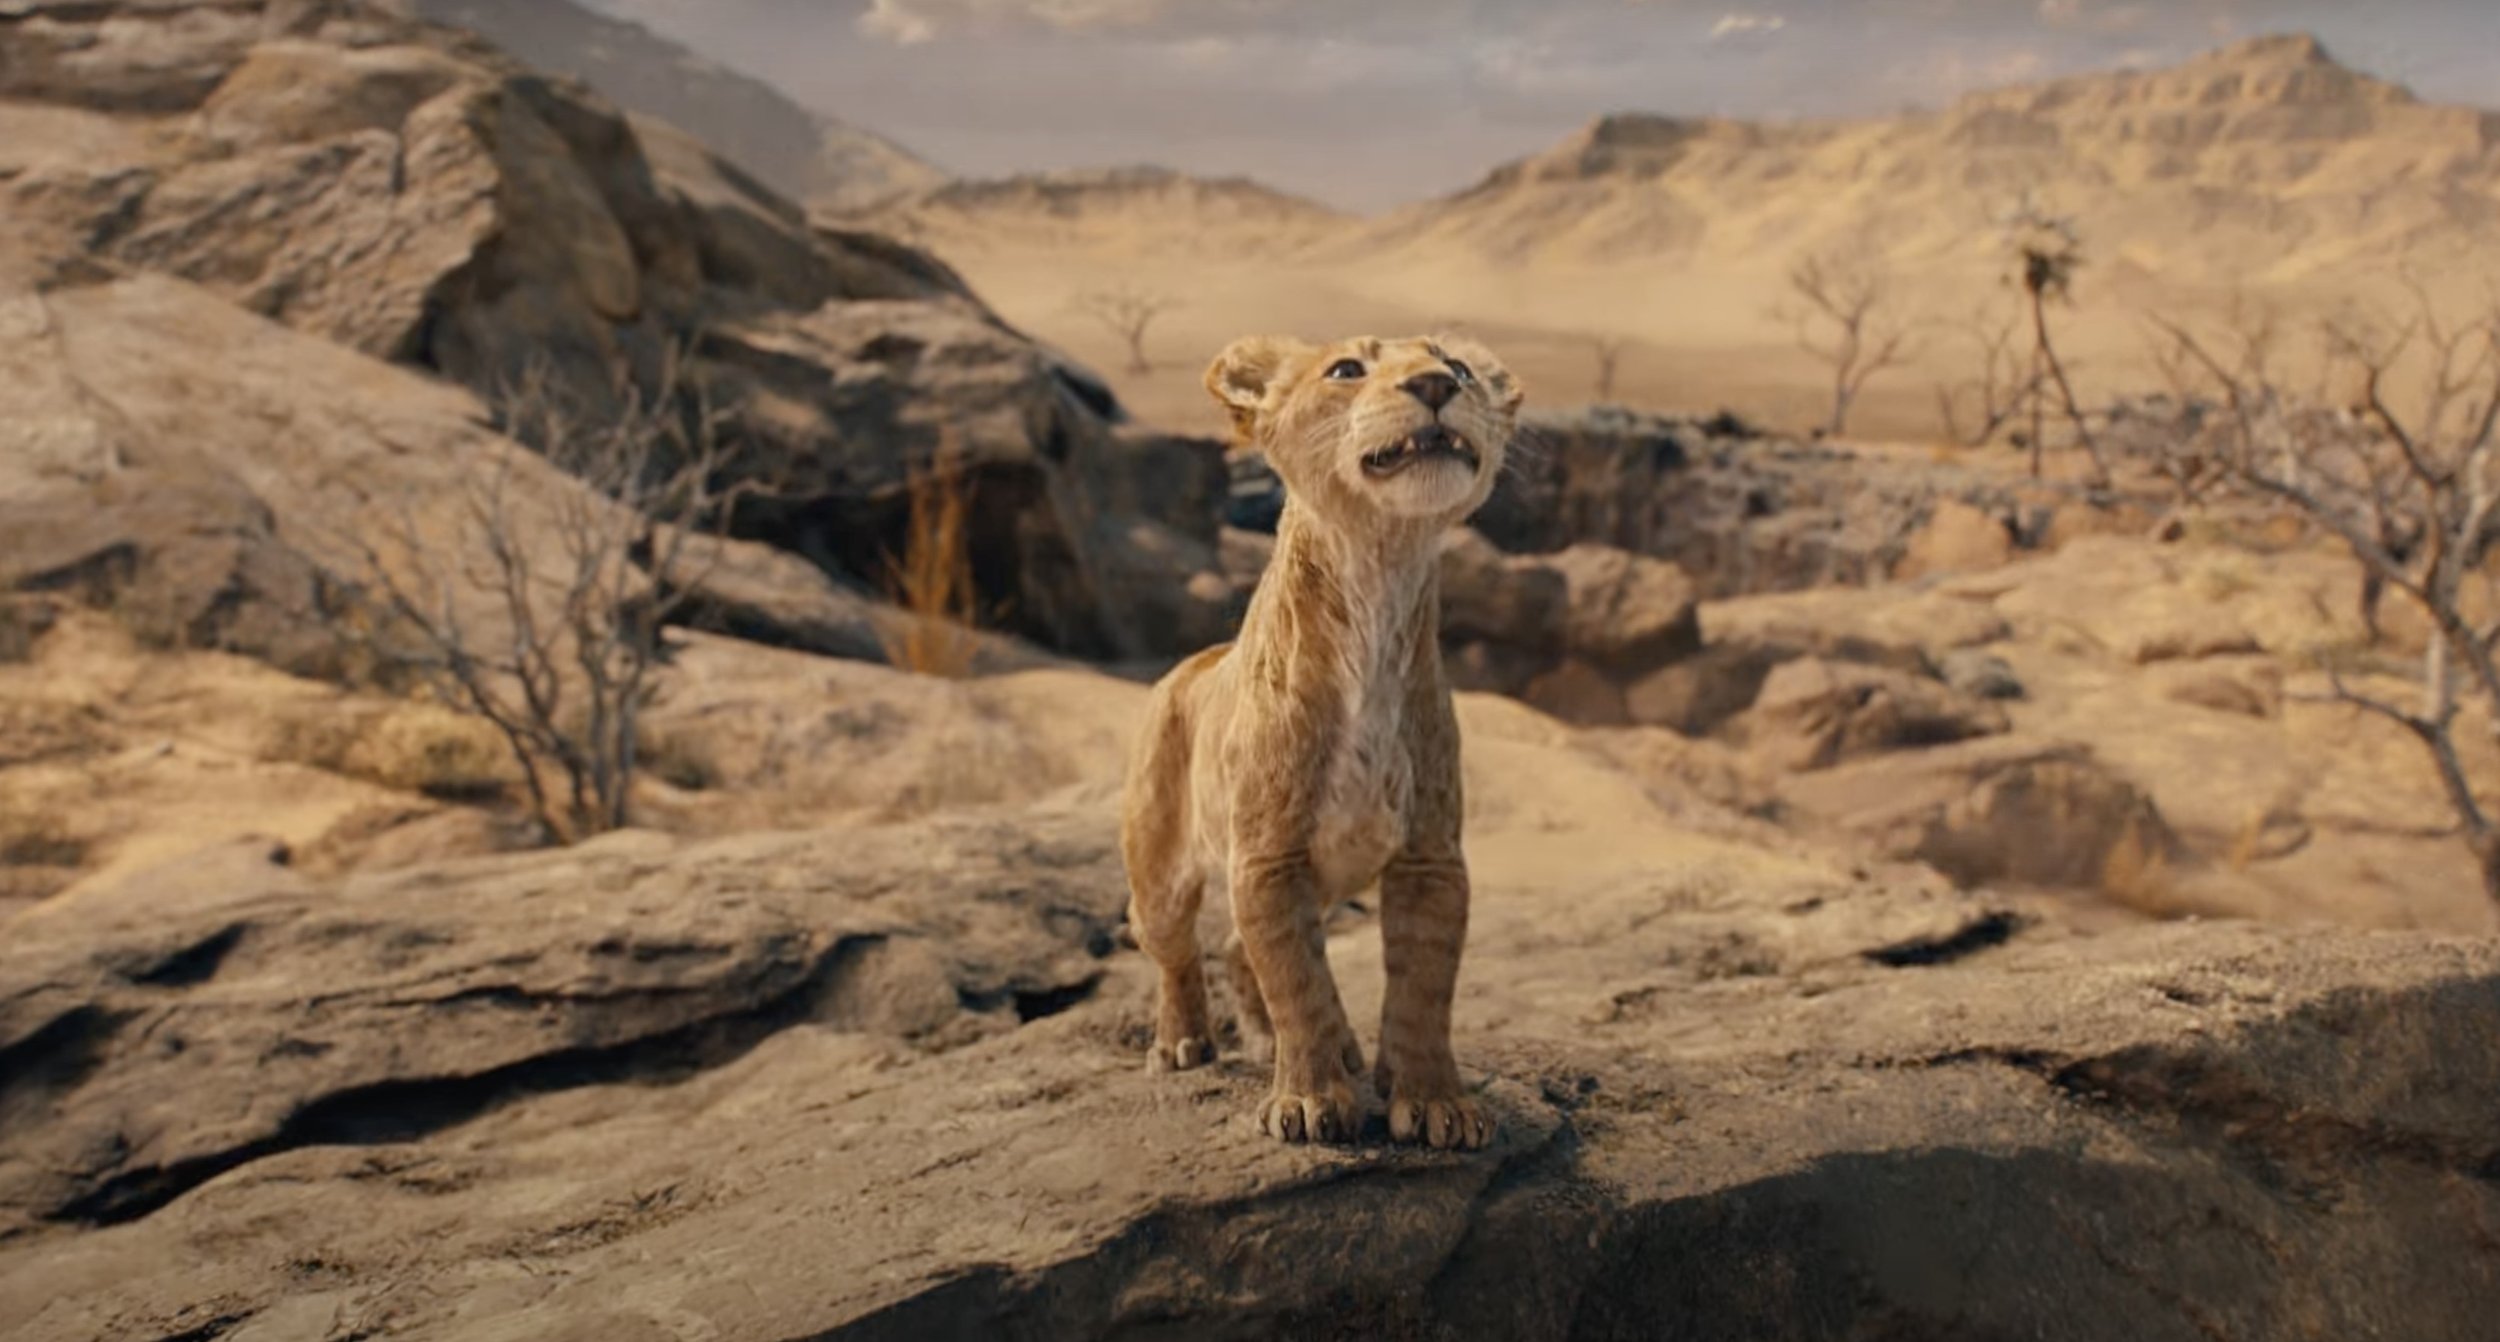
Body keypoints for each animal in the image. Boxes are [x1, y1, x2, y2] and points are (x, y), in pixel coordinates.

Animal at [1120, 332, 1523, 1150]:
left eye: (1460, 368)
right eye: (1347, 369)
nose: (1436, 384)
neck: (1377, 583)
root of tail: (1188, 665)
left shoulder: (1431, 857)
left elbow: (1423, 989)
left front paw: (1434, 1101)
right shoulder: (1268, 856)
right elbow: (1296, 981)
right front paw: (1307, 1101)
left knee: (1241, 950)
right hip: (1161, 870)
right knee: (1180, 952)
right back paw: (1183, 1042)